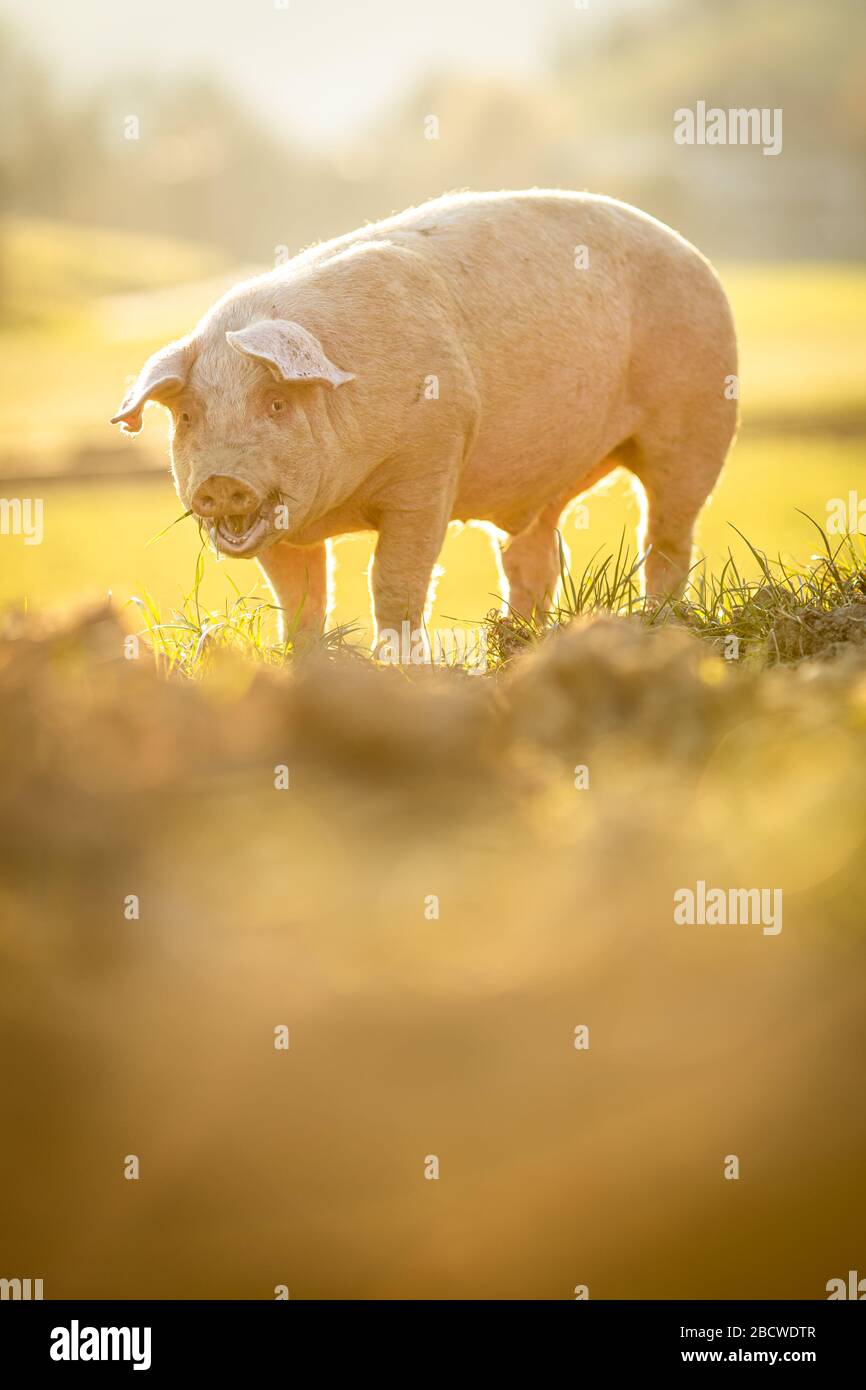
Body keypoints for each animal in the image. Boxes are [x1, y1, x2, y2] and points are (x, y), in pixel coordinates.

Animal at [112, 189, 737, 650]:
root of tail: (697, 256)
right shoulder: (278, 527)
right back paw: (519, 642)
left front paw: (397, 668)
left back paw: (659, 625)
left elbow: (394, 580)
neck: (337, 506)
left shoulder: (430, 462)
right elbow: (300, 597)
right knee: (534, 556)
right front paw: (303, 661)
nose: (222, 480)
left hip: (698, 420)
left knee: (667, 533)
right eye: (188, 414)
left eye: (276, 403)